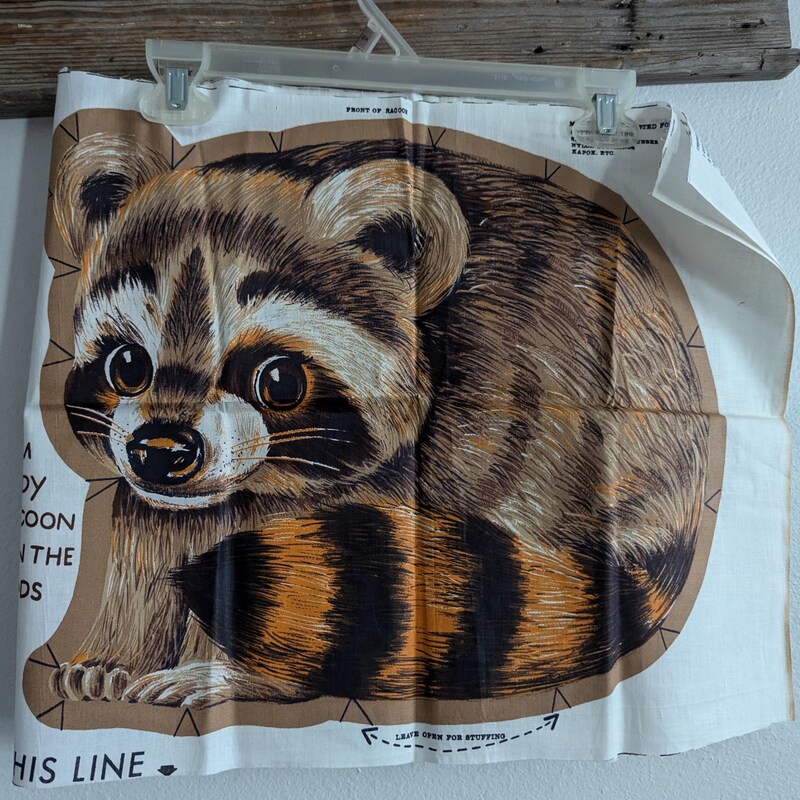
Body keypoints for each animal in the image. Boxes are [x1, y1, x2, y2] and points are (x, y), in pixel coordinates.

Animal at [47, 132, 708, 706]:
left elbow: (340, 594)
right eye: (127, 365)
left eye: (277, 382)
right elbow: (149, 534)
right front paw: (118, 653)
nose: (161, 450)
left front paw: (241, 671)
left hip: (567, 449)